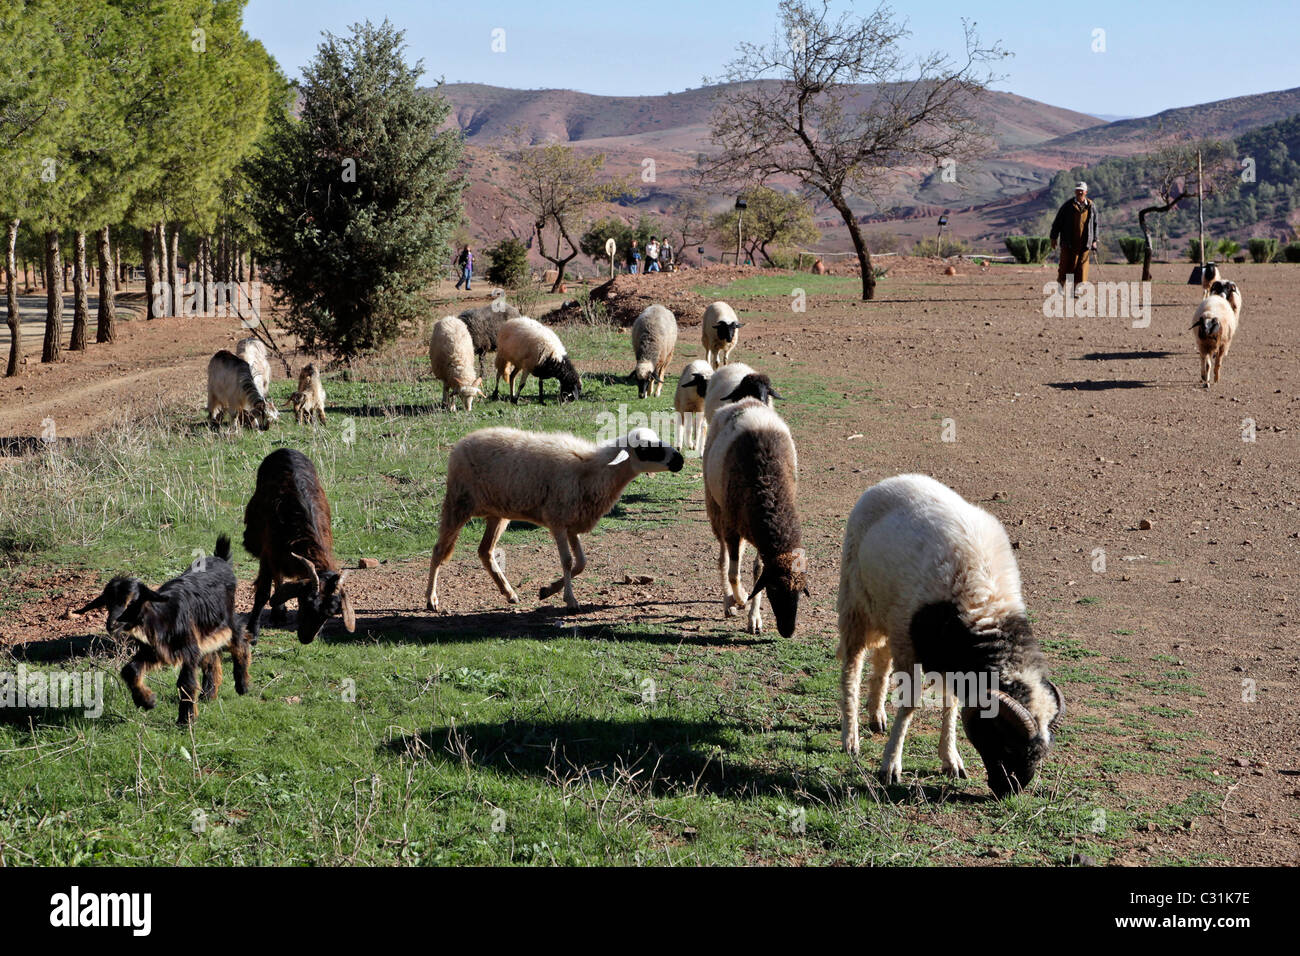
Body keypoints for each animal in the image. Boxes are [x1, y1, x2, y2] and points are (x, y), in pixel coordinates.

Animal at [115, 534, 252, 726]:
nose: (114, 623)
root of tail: (221, 559)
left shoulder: (188, 649)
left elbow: (186, 683)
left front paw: (185, 720)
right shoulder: (158, 650)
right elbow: (130, 670)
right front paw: (146, 701)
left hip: (227, 620)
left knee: (240, 642)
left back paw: (242, 685)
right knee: (211, 659)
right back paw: (209, 694)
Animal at [243, 448, 356, 644]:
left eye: (331, 613)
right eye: (306, 601)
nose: (306, 638)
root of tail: (285, 449)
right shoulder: (268, 552)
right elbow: (263, 593)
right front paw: (252, 633)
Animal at [424, 426, 684, 613]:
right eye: (645, 448)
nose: (680, 460)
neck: (594, 471)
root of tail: (463, 441)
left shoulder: (573, 523)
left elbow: (582, 563)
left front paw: (547, 590)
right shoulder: (558, 521)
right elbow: (567, 562)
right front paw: (570, 600)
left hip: (498, 513)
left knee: (485, 551)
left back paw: (509, 593)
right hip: (459, 502)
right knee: (439, 550)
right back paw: (431, 599)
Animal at [702, 398, 807, 637]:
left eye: (798, 591)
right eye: (774, 589)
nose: (788, 631)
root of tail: (745, 401)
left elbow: (758, 570)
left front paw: (755, 619)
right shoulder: (731, 528)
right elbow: (733, 573)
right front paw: (740, 598)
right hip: (716, 510)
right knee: (724, 560)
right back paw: (729, 602)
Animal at [837, 473, 1064, 797]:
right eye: (1007, 744)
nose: (1009, 791)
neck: (983, 603)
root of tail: (892, 479)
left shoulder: (943, 654)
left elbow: (952, 704)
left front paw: (951, 760)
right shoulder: (911, 647)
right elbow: (910, 706)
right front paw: (890, 766)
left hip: (888, 611)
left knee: (881, 660)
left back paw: (876, 716)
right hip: (855, 601)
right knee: (852, 667)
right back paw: (850, 736)